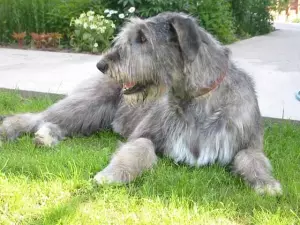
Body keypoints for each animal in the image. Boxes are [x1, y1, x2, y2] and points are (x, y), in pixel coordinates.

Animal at [0, 11, 282, 195]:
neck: (197, 101)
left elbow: (252, 159)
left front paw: (267, 184)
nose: (102, 64)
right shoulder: (144, 134)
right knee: (37, 117)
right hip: (88, 105)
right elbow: (139, 149)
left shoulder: (247, 142)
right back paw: (13, 130)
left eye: (144, 38)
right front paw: (111, 175)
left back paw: (46, 137)